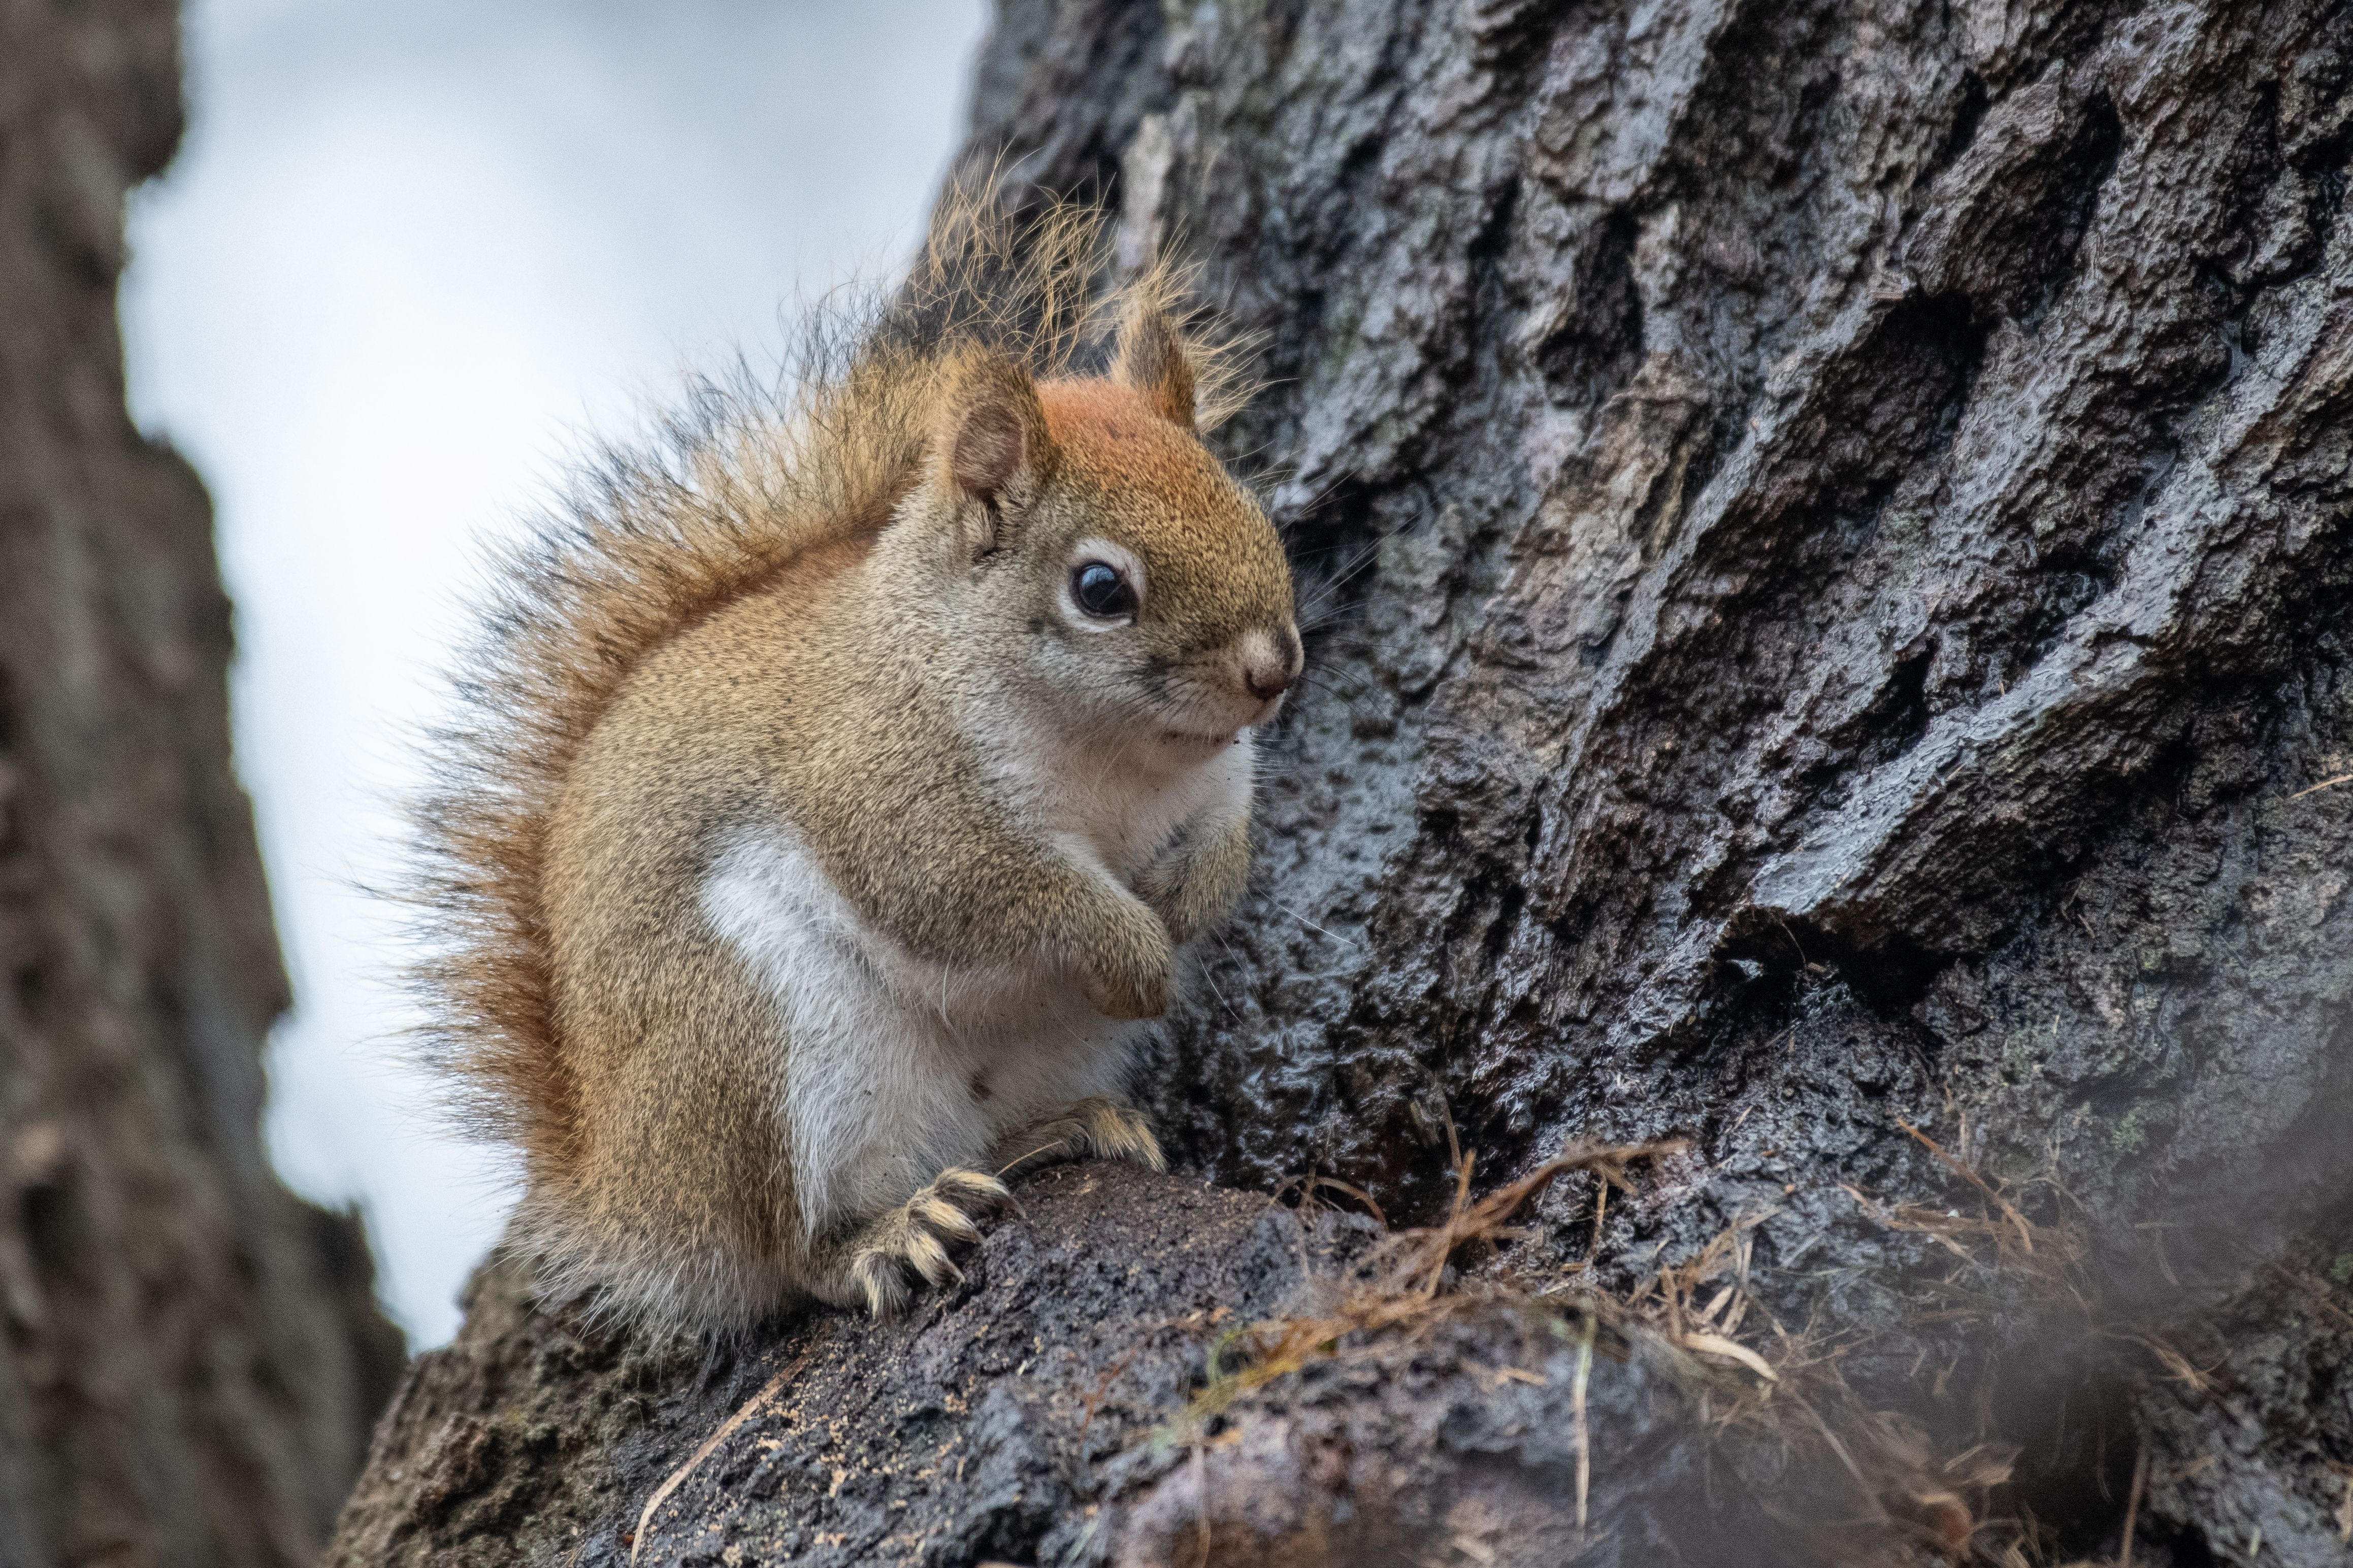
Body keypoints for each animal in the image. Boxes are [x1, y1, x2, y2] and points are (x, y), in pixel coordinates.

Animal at [407, 196, 1302, 1336]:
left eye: (1249, 506)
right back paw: (889, 1235)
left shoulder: (1221, 781)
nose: (1273, 670)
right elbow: (986, 890)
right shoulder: (887, 785)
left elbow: (1227, 844)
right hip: (752, 1040)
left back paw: (1063, 1128)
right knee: (790, 1252)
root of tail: (634, 1187)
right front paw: (1135, 947)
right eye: (1101, 588)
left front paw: (1191, 903)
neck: (1119, 761)